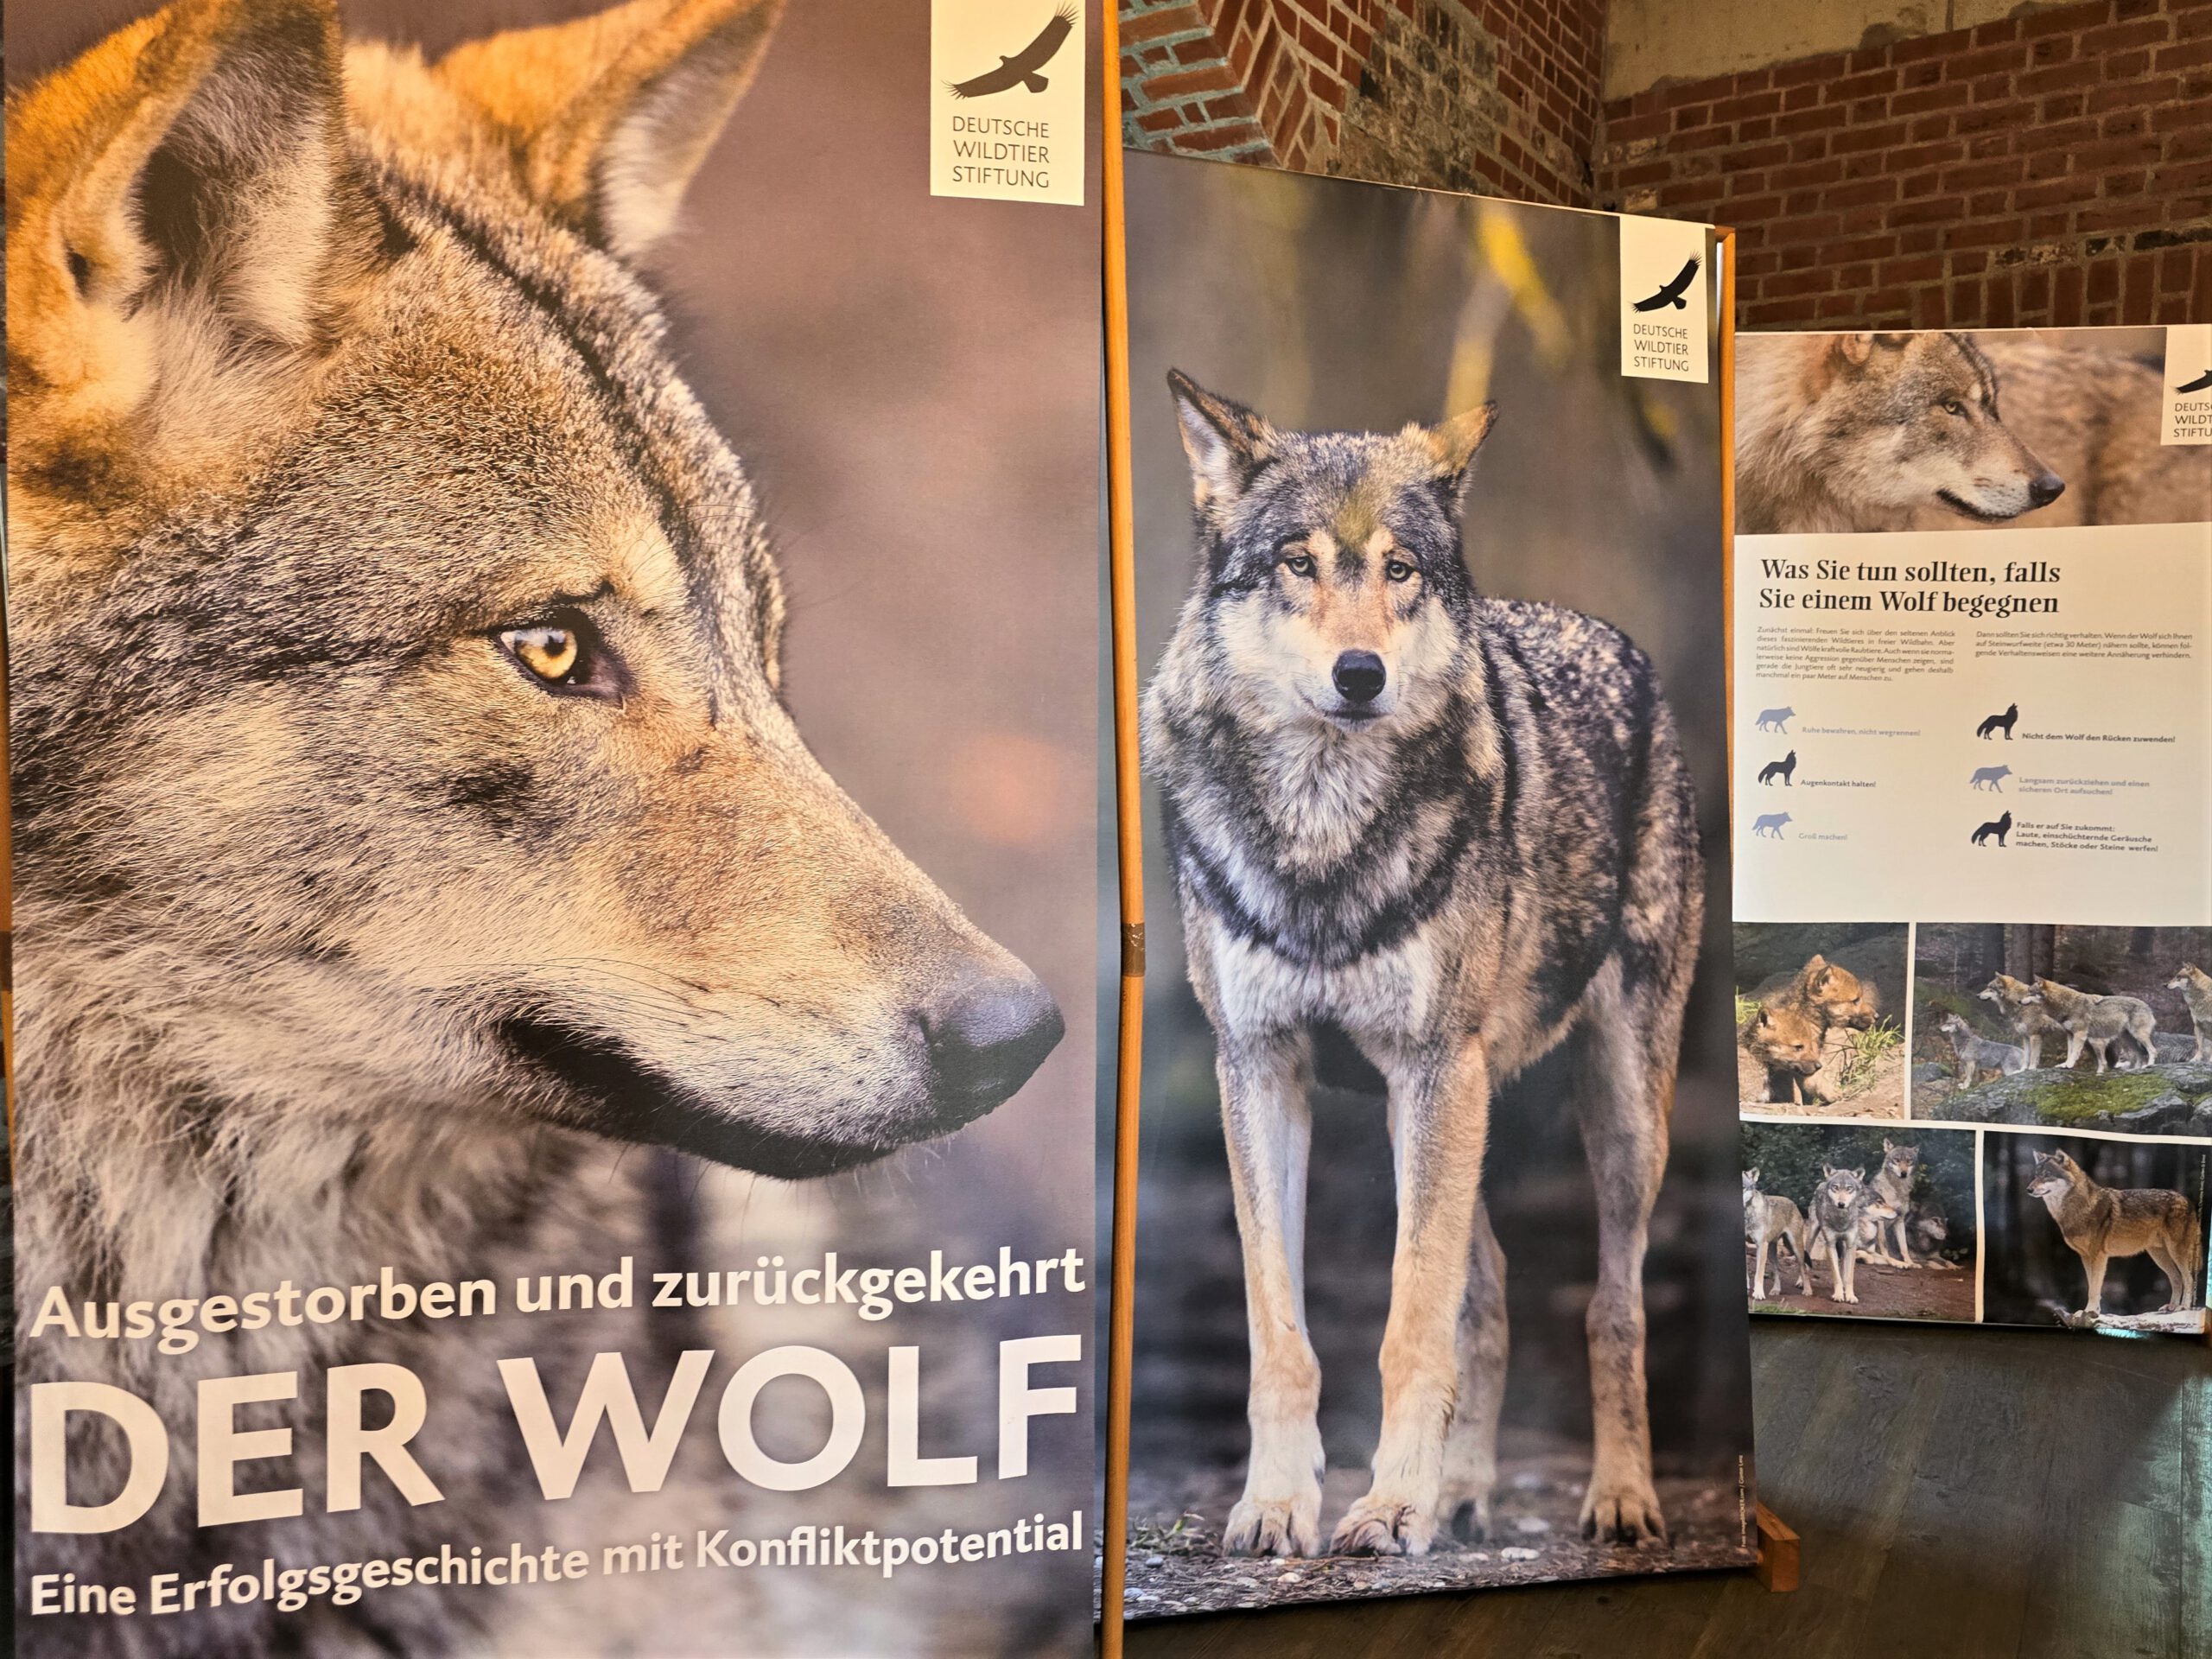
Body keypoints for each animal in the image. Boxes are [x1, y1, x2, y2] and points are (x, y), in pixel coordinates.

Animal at [1141, 372, 1705, 1555]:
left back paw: (1619, 1496)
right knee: (1485, 1288)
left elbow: (1408, 1327)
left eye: (1399, 570)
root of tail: (1605, 633)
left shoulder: (1433, 1068)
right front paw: (1281, 1505)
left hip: (1614, 1115)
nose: (1361, 676)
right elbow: (1281, 1332)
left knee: (1610, 1305)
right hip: (1443, 1117)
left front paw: (1391, 1506)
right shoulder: (1258, 1068)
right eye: (1298, 563)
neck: (1321, 837)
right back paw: (1463, 1495)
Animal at [1742, 1169, 1813, 1299]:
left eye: (1743, 1187)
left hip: (1795, 1249)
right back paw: (1776, 1290)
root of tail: (1793, 1203)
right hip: (1771, 1253)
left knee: (1803, 1268)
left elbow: (1759, 1274)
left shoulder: (1761, 1245)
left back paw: (1807, 1291)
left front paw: (1758, 1293)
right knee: (1777, 1270)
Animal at [2024, 979, 2158, 1074]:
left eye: (2030, 992)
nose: (2020, 1001)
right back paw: (2135, 1070)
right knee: (2140, 1054)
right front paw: (2064, 1064)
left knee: (2153, 1050)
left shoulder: (2080, 1034)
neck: (2066, 1005)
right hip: (2127, 1040)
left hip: (2137, 1036)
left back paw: (2149, 1065)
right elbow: (2069, 1052)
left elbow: (2075, 1052)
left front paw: (2070, 1065)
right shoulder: (2070, 1035)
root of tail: (2148, 1006)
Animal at [2026, 1151, 2202, 1317]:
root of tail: (2187, 1200)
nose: (2028, 1189)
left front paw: (2089, 1311)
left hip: (2177, 1252)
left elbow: (2093, 1289)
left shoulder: (2098, 1256)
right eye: (2036, 1175)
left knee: (2189, 1278)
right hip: (2158, 1256)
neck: (2079, 1208)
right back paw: (2171, 1307)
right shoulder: (2086, 1257)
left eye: (2047, 1174)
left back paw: (2183, 1307)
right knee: (2177, 1278)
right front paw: (2093, 1313)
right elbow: (2093, 1287)